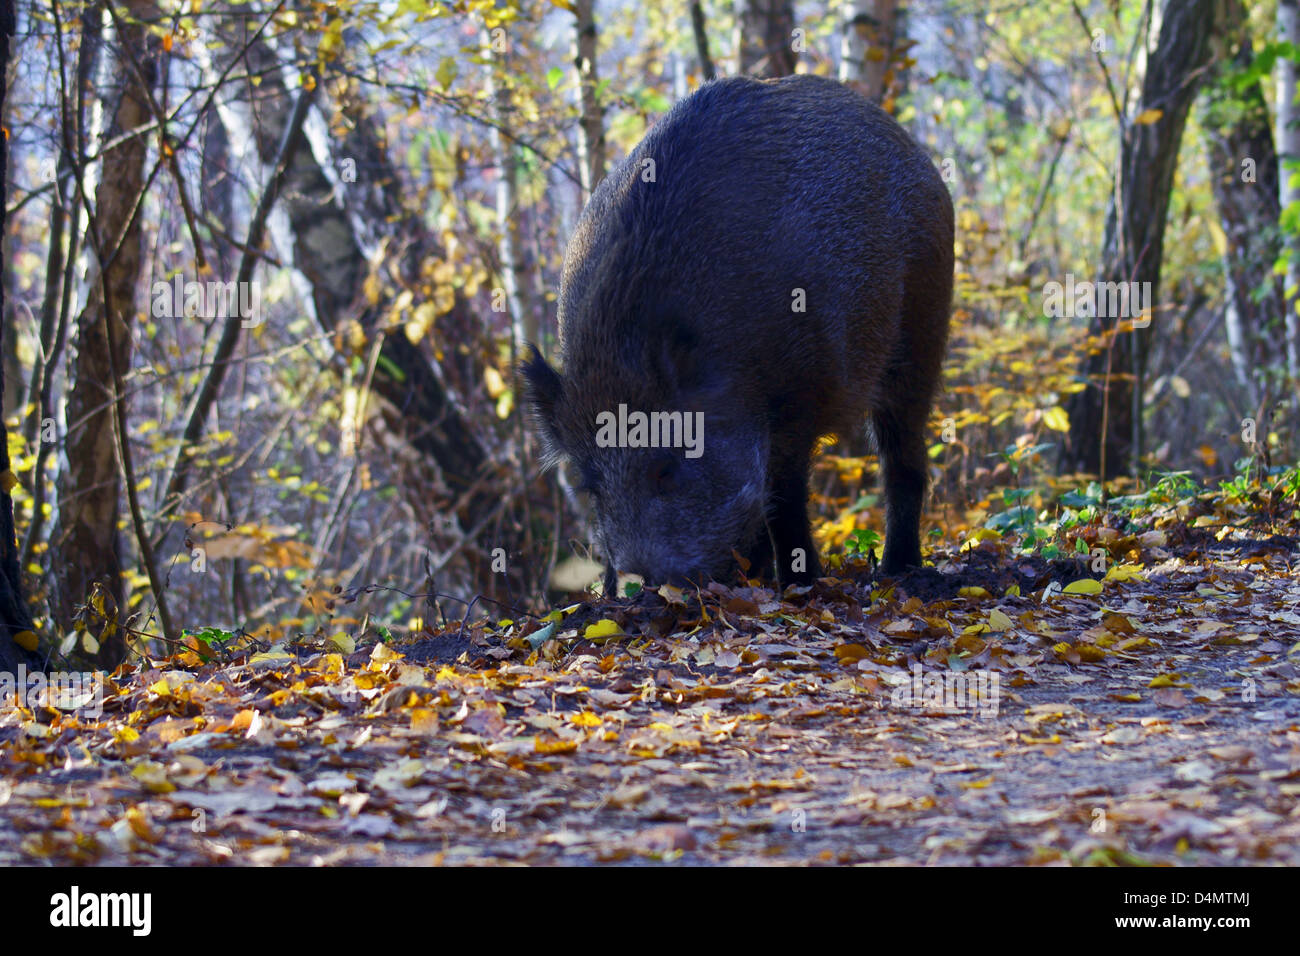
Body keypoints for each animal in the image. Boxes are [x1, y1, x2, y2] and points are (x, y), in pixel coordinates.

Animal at [523, 74, 952, 591]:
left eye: (666, 467)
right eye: (590, 484)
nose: (637, 586)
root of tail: (916, 152)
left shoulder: (801, 392)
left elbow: (783, 496)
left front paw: (799, 585)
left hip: (922, 325)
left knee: (902, 455)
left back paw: (897, 569)